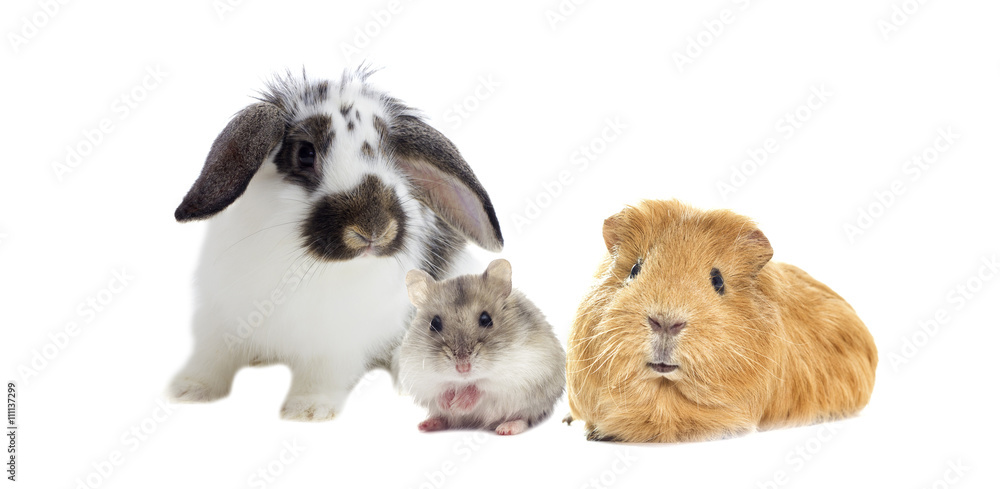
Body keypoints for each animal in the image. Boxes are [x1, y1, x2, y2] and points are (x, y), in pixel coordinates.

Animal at [167, 67, 504, 421]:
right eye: (305, 153)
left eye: (391, 157)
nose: (373, 229)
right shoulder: (222, 315)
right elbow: (213, 354)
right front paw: (188, 391)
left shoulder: (336, 339)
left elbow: (322, 371)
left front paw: (307, 409)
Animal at [397, 259, 565, 435]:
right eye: (434, 323)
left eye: (486, 319)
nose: (463, 368)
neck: (463, 380)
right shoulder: (419, 375)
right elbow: (440, 387)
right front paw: (449, 404)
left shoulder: (523, 369)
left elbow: (482, 385)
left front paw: (458, 404)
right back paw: (427, 425)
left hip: (533, 404)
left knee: (524, 418)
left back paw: (506, 428)